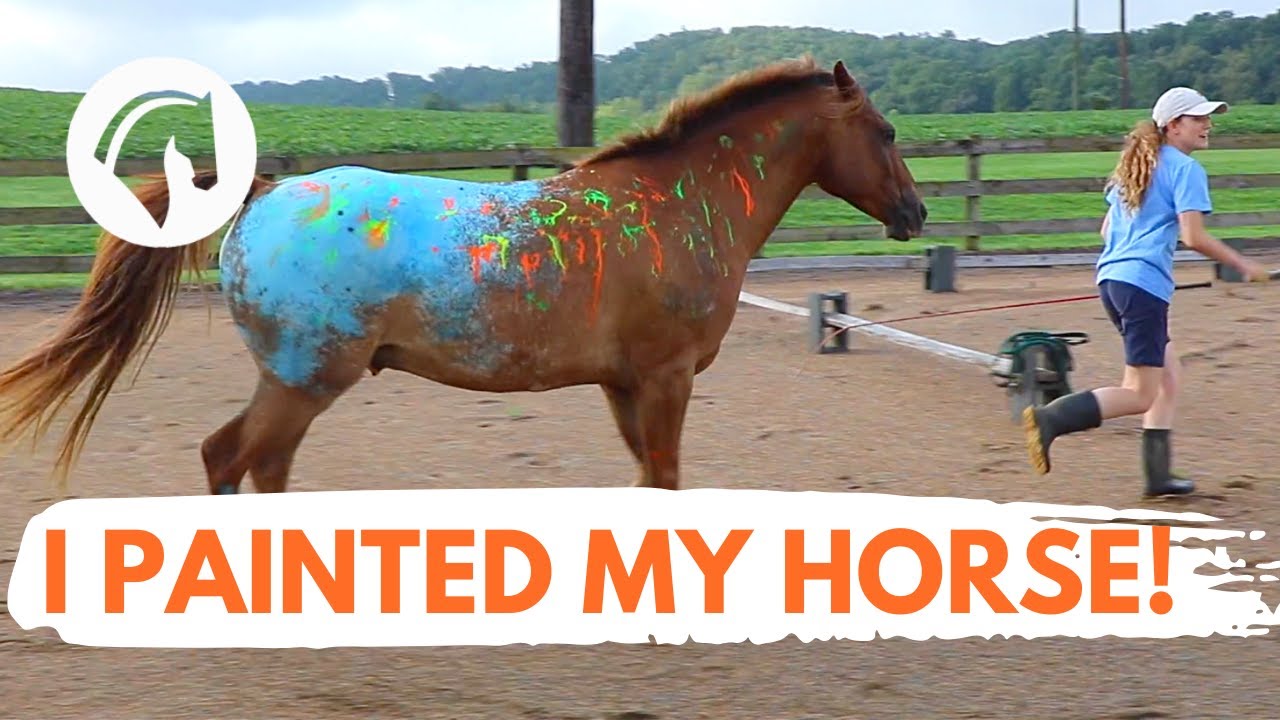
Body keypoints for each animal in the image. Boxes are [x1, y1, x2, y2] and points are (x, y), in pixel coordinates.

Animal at [0, 56, 926, 495]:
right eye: (884, 132)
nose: (915, 214)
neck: (673, 205)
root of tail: (261, 195)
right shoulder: (665, 379)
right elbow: (664, 479)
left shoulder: (625, 385)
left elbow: (647, 481)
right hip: (304, 378)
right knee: (231, 457)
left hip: (297, 383)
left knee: (259, 465)